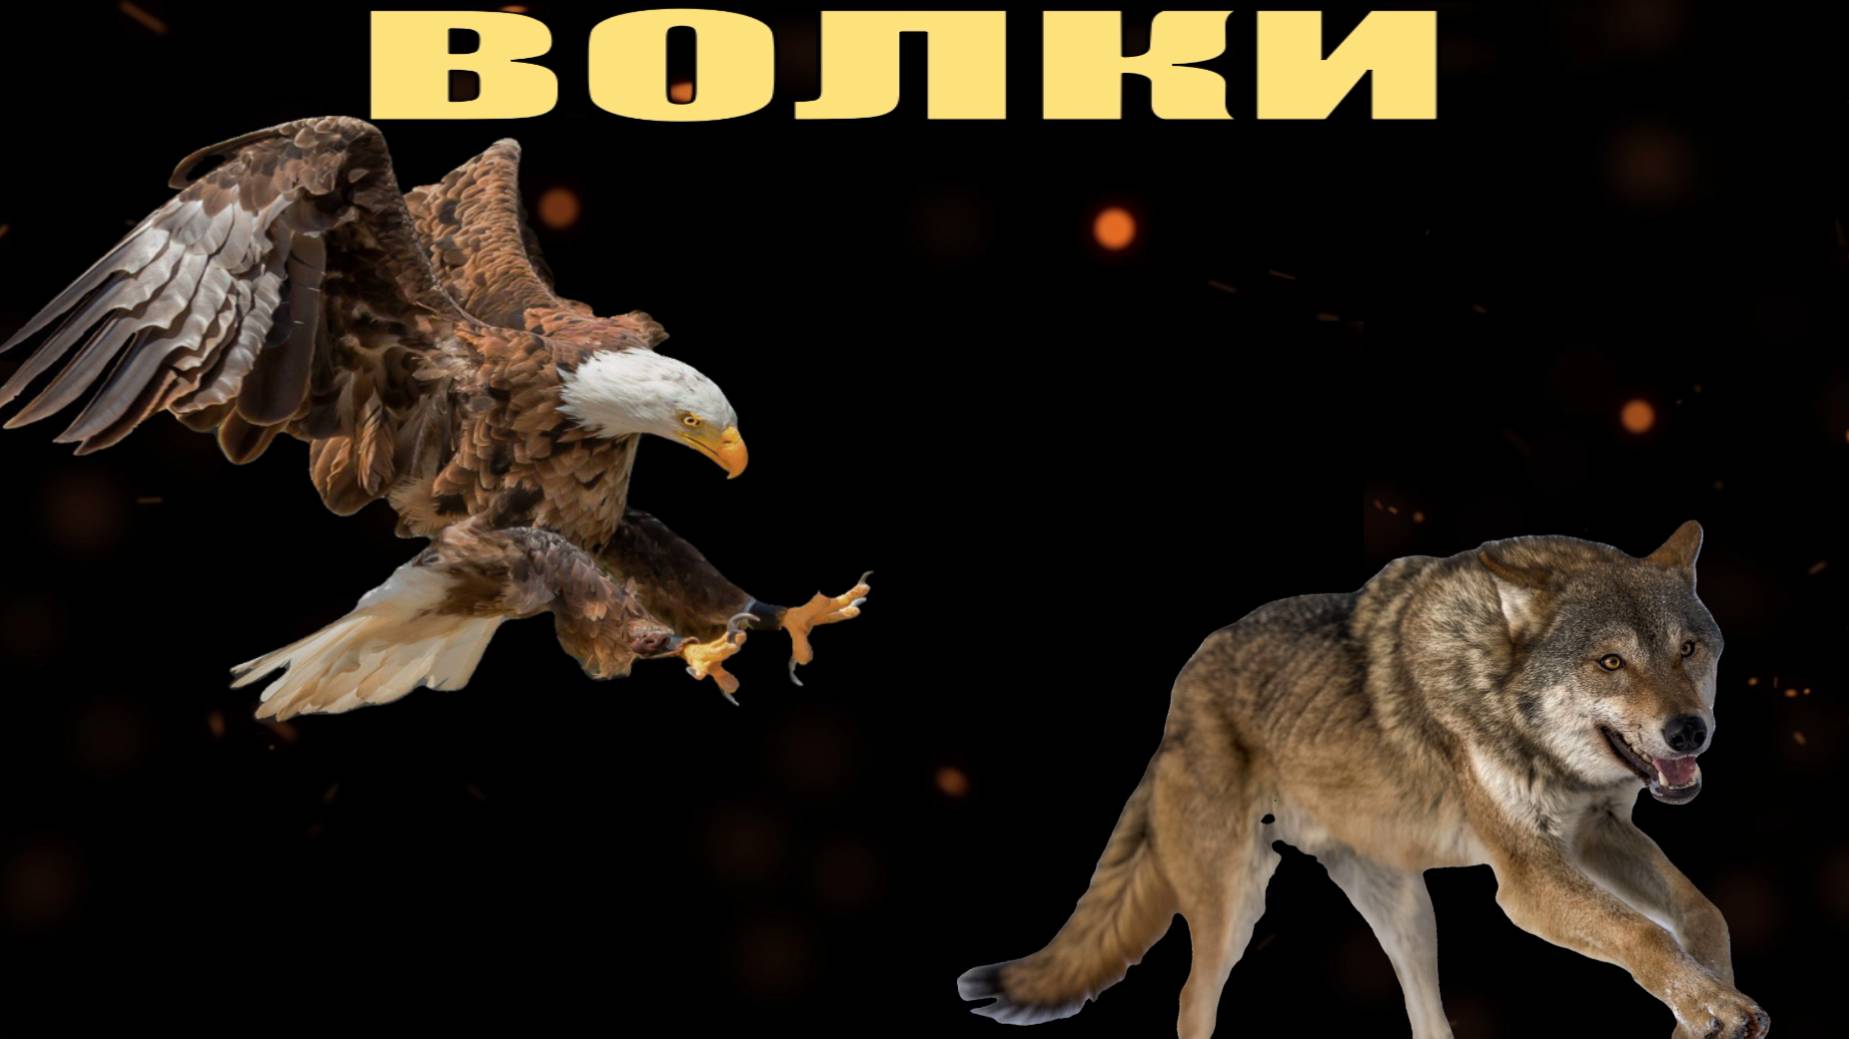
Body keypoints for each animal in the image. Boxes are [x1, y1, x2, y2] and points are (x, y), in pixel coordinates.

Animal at [958, 521, 1767, 1039]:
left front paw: (1706, 1001)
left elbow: (1701, 914)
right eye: (1610, 662)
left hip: (1406, 914)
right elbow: (1642, 931)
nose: (1689, 732)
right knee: (1191, 1001)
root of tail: (1177, 703)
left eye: (1687, 649)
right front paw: (1711, 1006)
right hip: (1234, 905)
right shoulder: (1529, 877)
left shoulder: (1595, 831)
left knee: (1425, 1017)